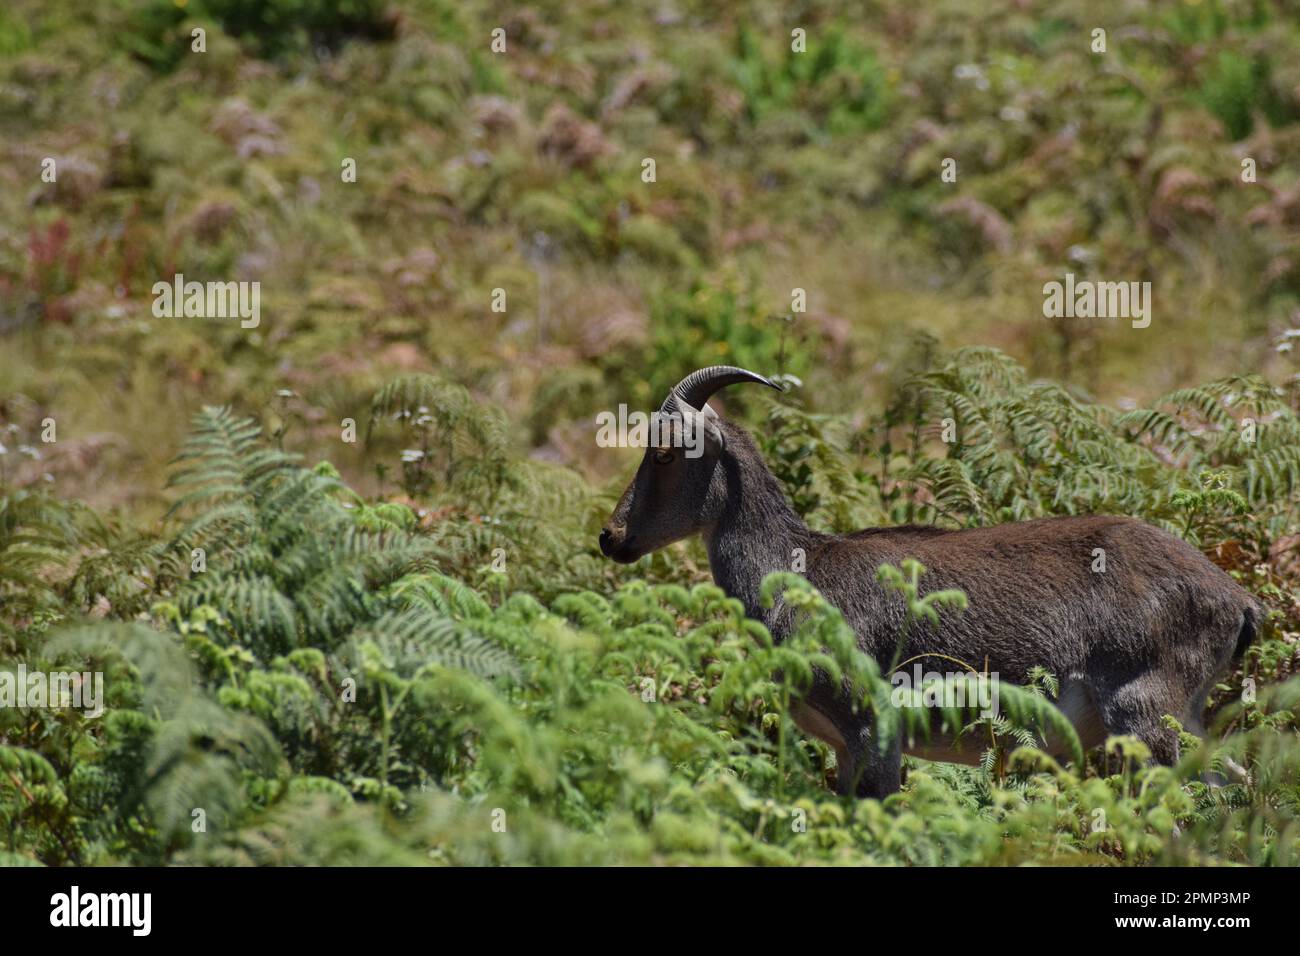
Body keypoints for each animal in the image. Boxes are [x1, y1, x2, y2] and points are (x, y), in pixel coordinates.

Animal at [599, 365, 1259, 798]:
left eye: (663, 452)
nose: (611, 536)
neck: (795, 570)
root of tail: (1237, 601)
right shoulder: (844, 750)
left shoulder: (873, 729)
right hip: (1185, 721)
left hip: (1145, 718)